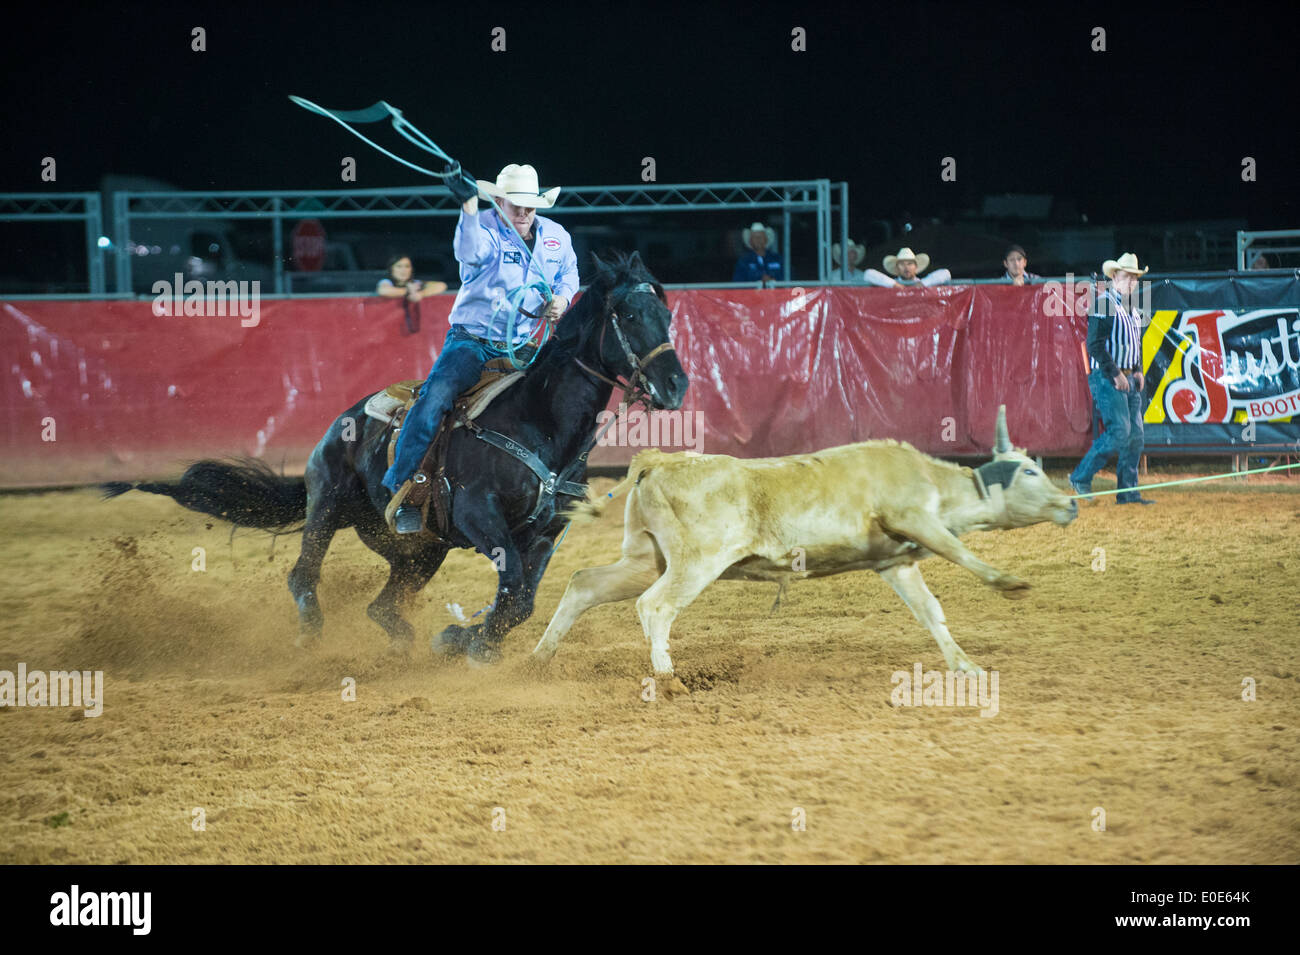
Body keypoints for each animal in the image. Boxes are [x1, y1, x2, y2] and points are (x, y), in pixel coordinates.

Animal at [533, 406, 1077, 684]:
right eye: (1030, 472)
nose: (1070, 504)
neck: (933, 483)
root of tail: (659, 460)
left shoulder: (894, 562)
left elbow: (929, 611)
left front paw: (964, 664)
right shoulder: (913, 519)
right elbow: (961, 553)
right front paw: (1009, 583)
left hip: (645, 558)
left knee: (584, 584)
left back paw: (536, 661)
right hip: (695, 563)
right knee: (656, 606)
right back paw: (668, 678)